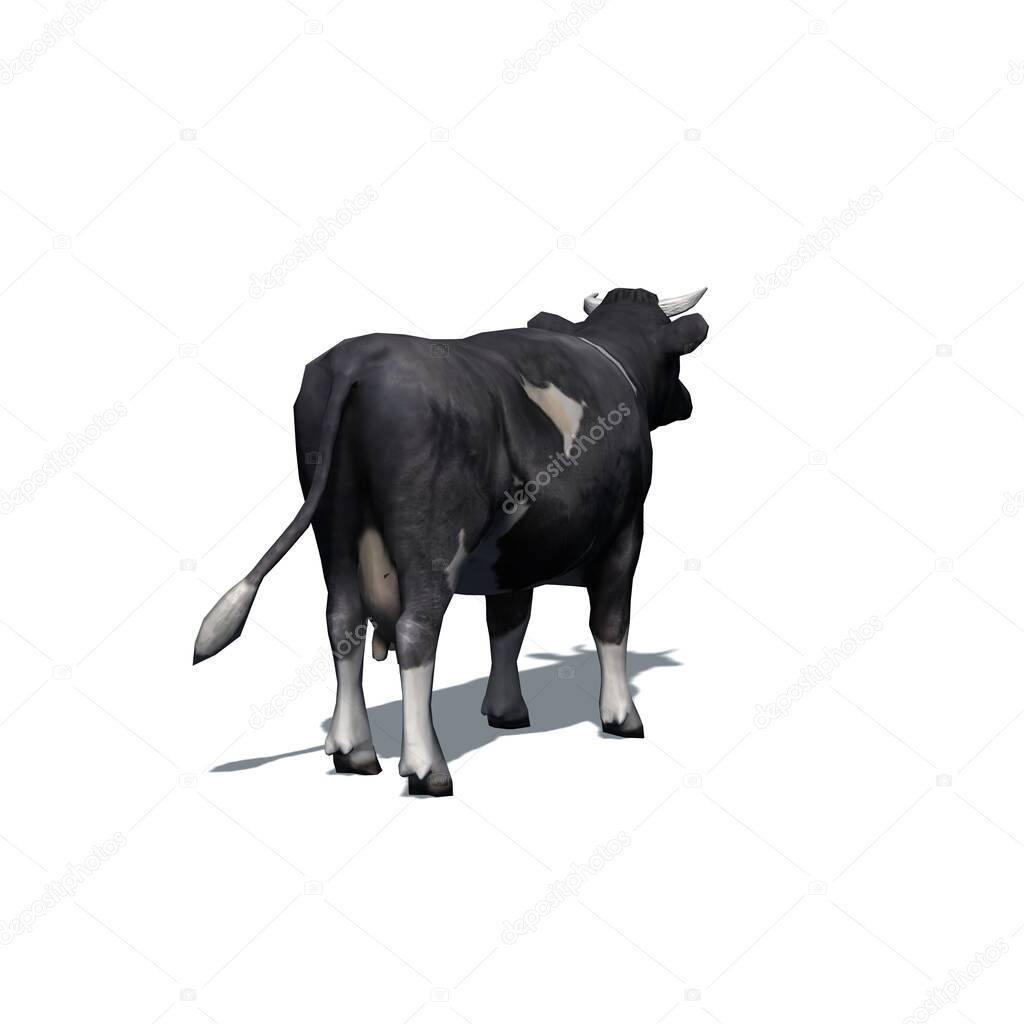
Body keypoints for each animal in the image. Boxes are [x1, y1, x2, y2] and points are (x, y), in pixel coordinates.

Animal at [194, 285, 709, 796]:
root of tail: (359, 356)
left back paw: (354, 752)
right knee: (415, 631)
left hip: (334, 527)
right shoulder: (625, 533)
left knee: (342, 622)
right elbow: (610, 623)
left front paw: (506, 711)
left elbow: (507, 626)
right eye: (676, 359)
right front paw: (622, 717)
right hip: (433, 535)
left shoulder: (514, 552)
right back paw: (427, 768)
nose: (687, 402)